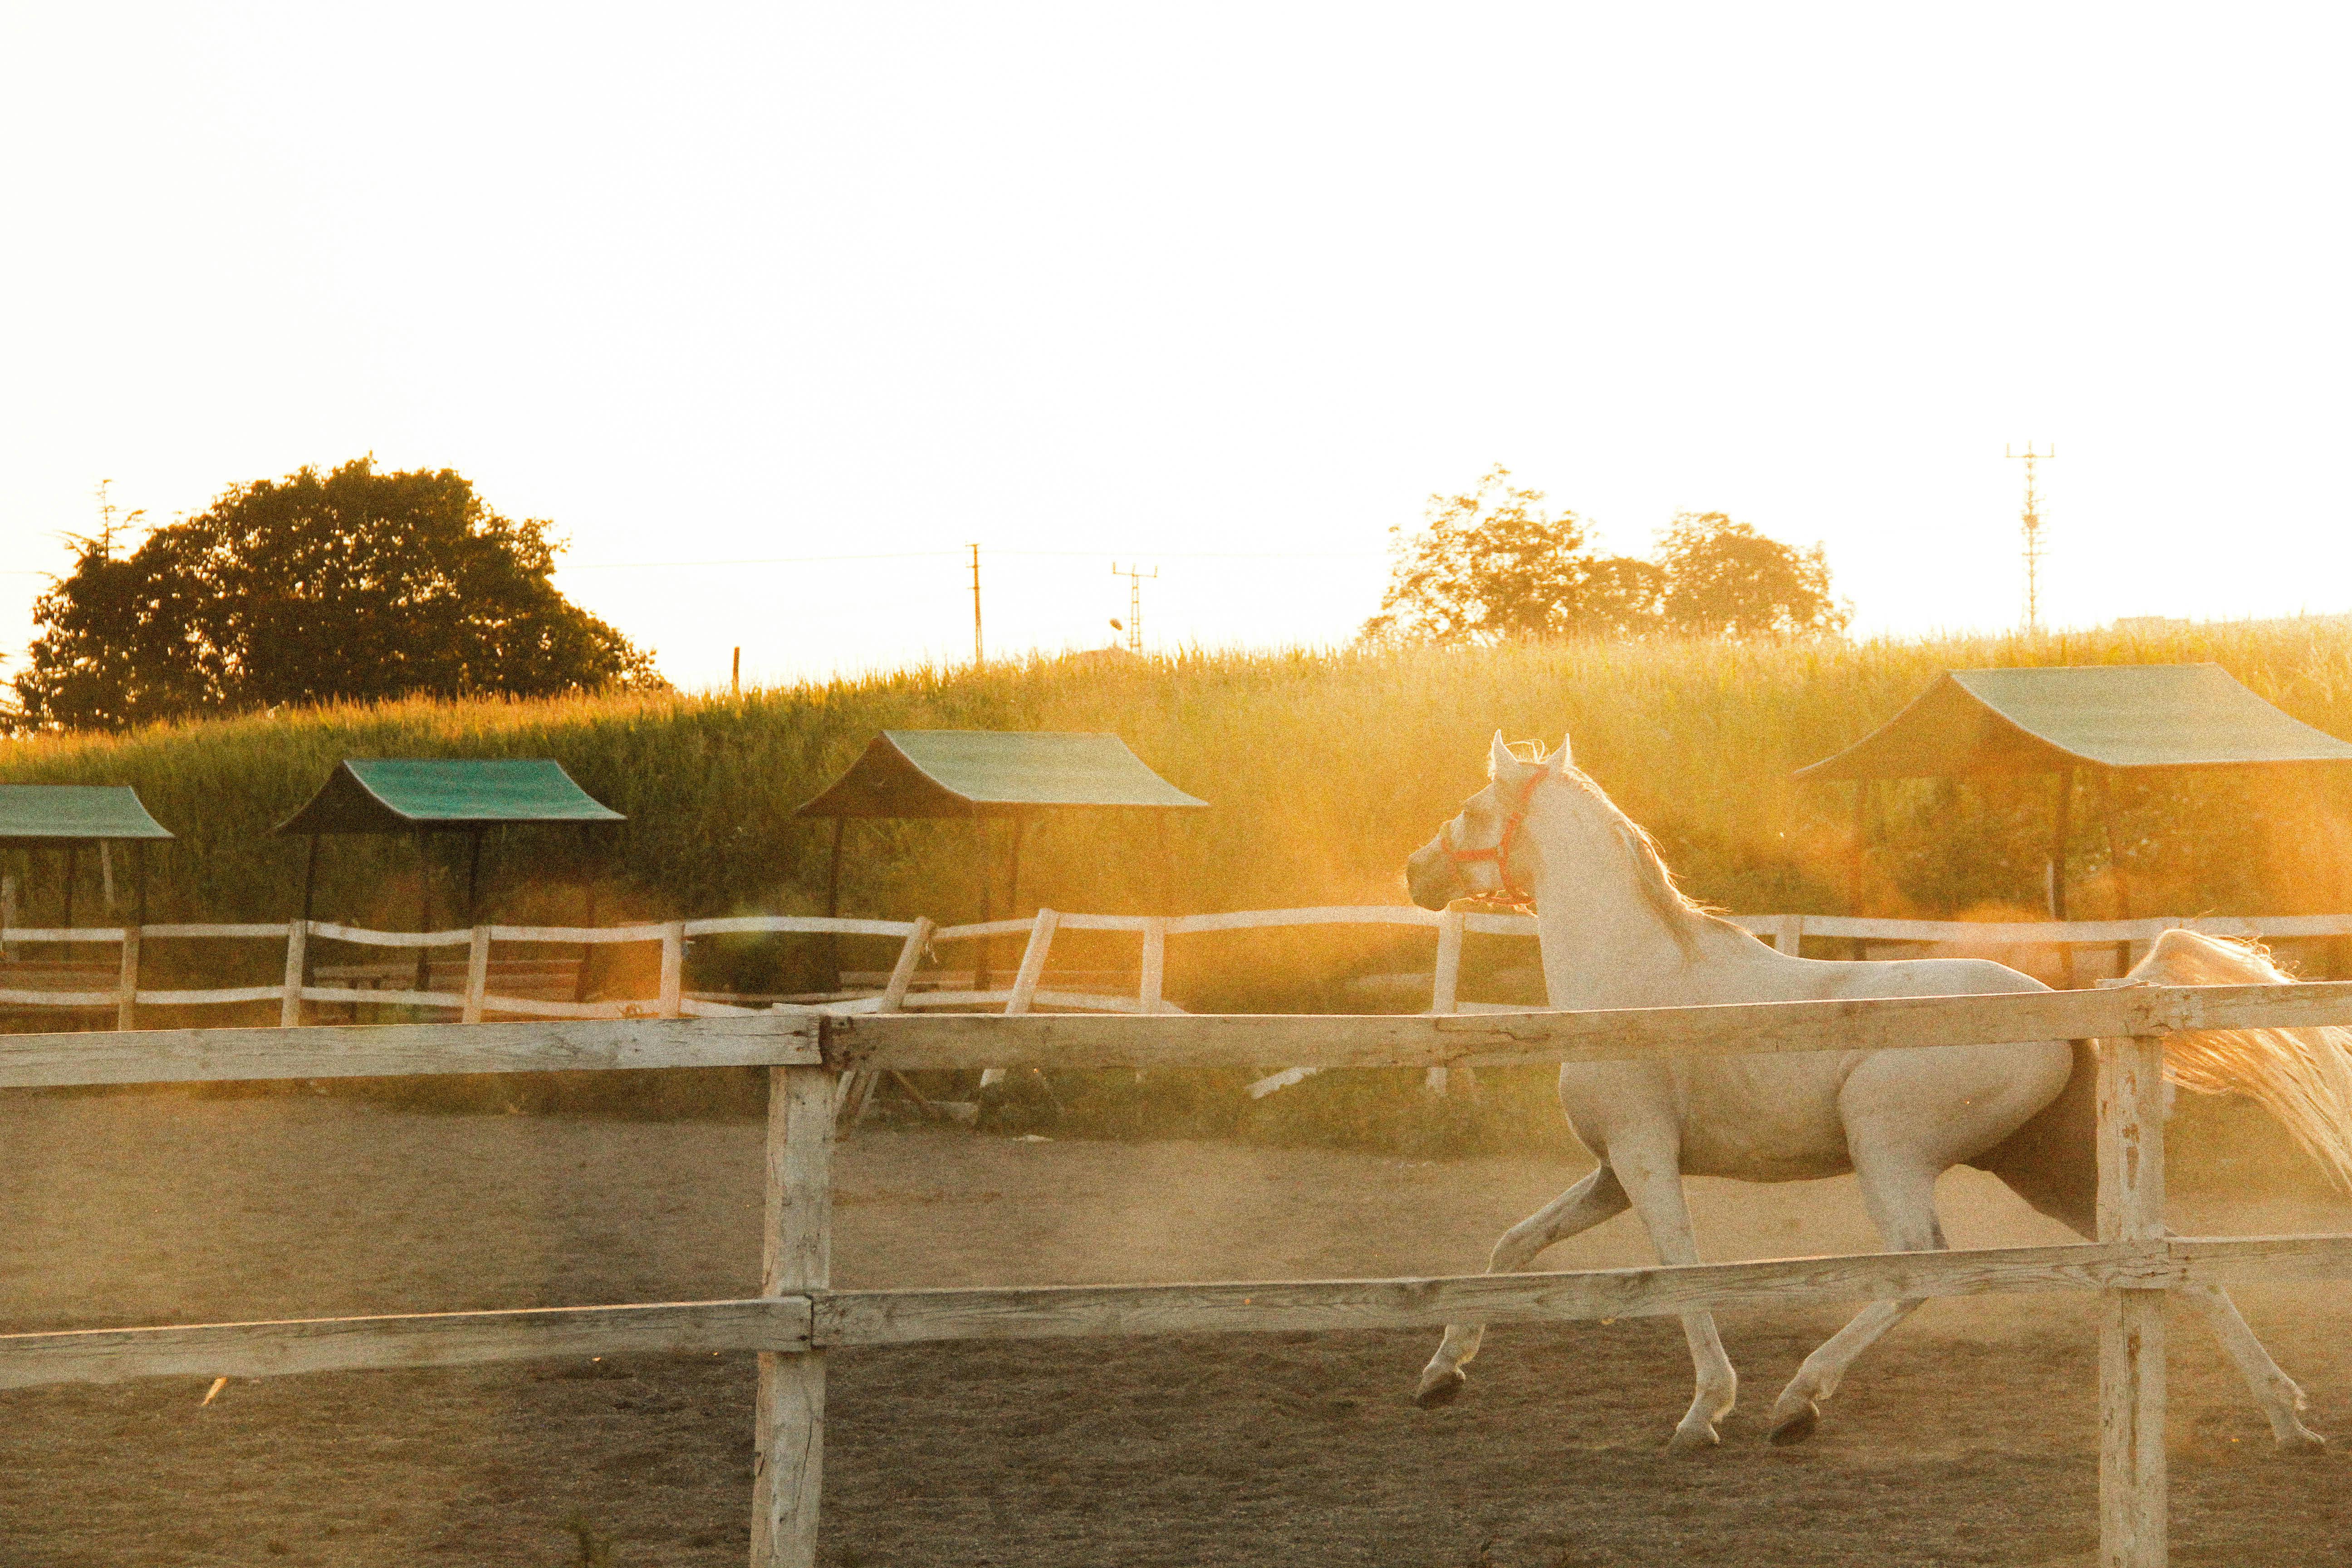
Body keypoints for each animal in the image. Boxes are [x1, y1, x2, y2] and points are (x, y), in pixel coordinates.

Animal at [1402, 731, 2352, 1452]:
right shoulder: (1608, 1172)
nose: (1415, 872)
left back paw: (1798, 1399)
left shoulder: (1644, 1159)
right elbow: (1509, 1248)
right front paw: (1440, 1372)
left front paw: (1704, 1411)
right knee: (2176, 1262)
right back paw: (2285, 1418)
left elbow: (1679, 1270)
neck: (1635, 980)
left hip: (1884, 1144)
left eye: (1474, 809)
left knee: (1916, 1264)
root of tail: (2063, 1009)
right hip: (2048, 1173)